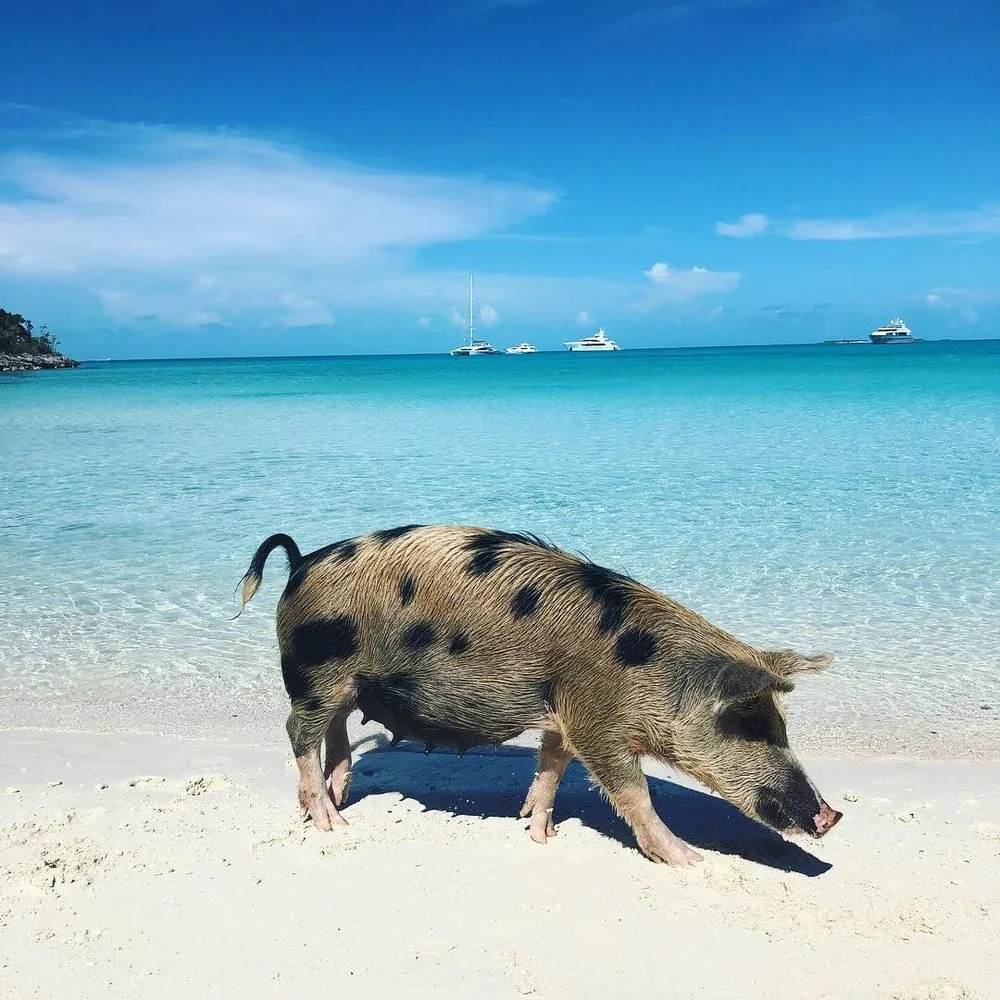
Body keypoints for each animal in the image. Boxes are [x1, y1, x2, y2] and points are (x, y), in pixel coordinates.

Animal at [238, 524, 842, 865]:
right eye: (749, 725)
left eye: (782, 725)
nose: (832, 815)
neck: (646, 670)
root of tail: (301, 562)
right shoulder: (598, 721)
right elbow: (634, 793)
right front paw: (691, 861)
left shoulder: (564, 713)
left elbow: (552, 765)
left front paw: (540, 833)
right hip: (315, 672)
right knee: (298, 732)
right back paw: (331, 823)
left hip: (342, 681)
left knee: (335, 726)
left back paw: (337, 797)